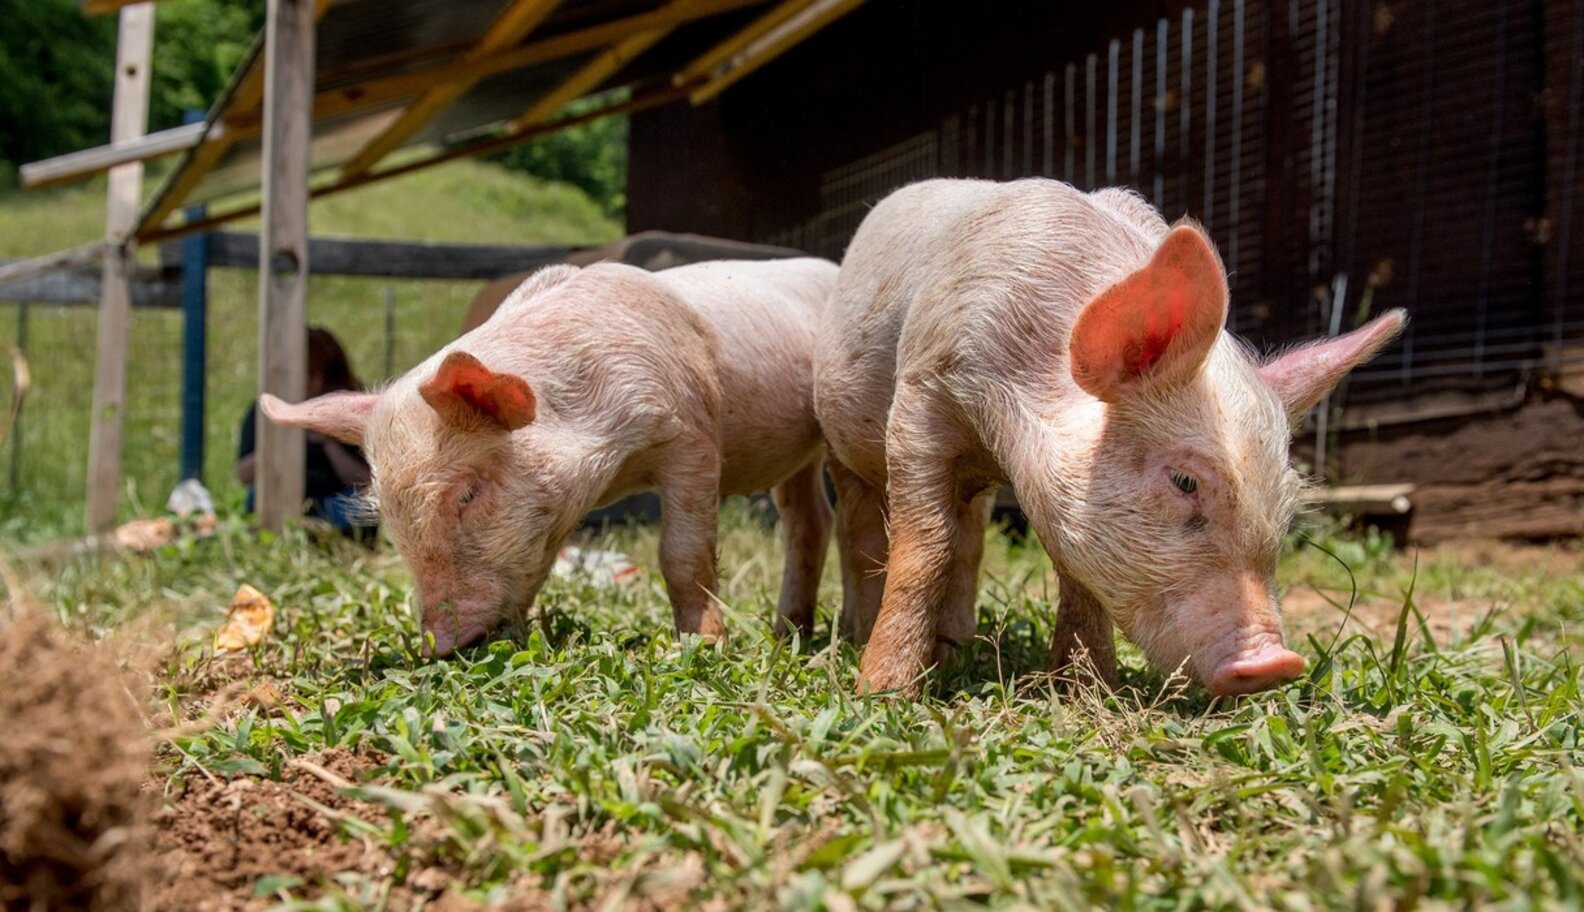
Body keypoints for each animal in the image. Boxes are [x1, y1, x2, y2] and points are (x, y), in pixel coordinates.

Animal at [261, 257, 838, 655]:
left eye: (467, 494)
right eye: (389, 516)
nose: (439, 644)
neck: (614, 463)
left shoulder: (690, 435)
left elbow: (682, 555)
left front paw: (704, 647)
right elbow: (535, 565)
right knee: (808, 520)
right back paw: (789, 632)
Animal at [814, 178, 1405, 699]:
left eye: (1285, 503)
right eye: (1185, 480)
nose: (1276, 664)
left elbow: (1071, 567)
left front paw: (1085, 691)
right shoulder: (922, 390)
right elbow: (924, 547)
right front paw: (883, 694)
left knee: (972, 537)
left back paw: (956, 648)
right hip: (836, 436)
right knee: (859, 526)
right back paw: (860, 636)